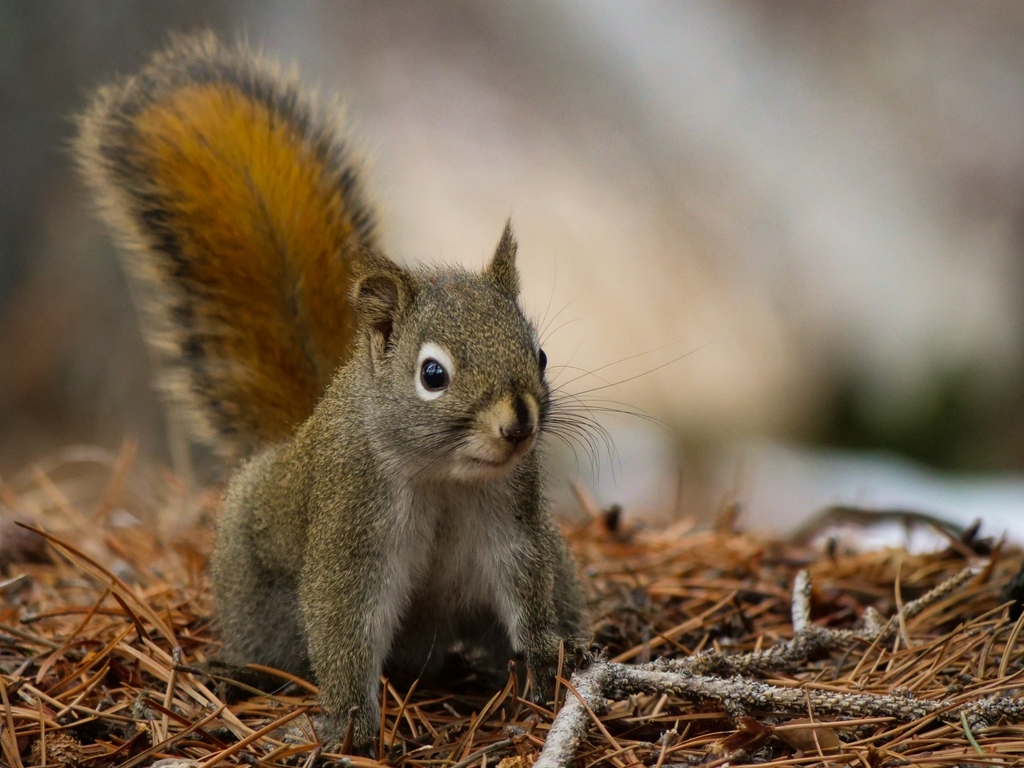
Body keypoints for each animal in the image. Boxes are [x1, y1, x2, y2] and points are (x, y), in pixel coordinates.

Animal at [75, 33, 589, 753]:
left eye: (538, 354)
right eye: (433, 375)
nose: (519, 424)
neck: (443, 476)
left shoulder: (513, 518)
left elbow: (525, 585)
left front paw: (544, 663)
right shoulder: (351, 521)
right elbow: (344, 618)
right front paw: (349, 723)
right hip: (259, 588)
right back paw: (239, 672)